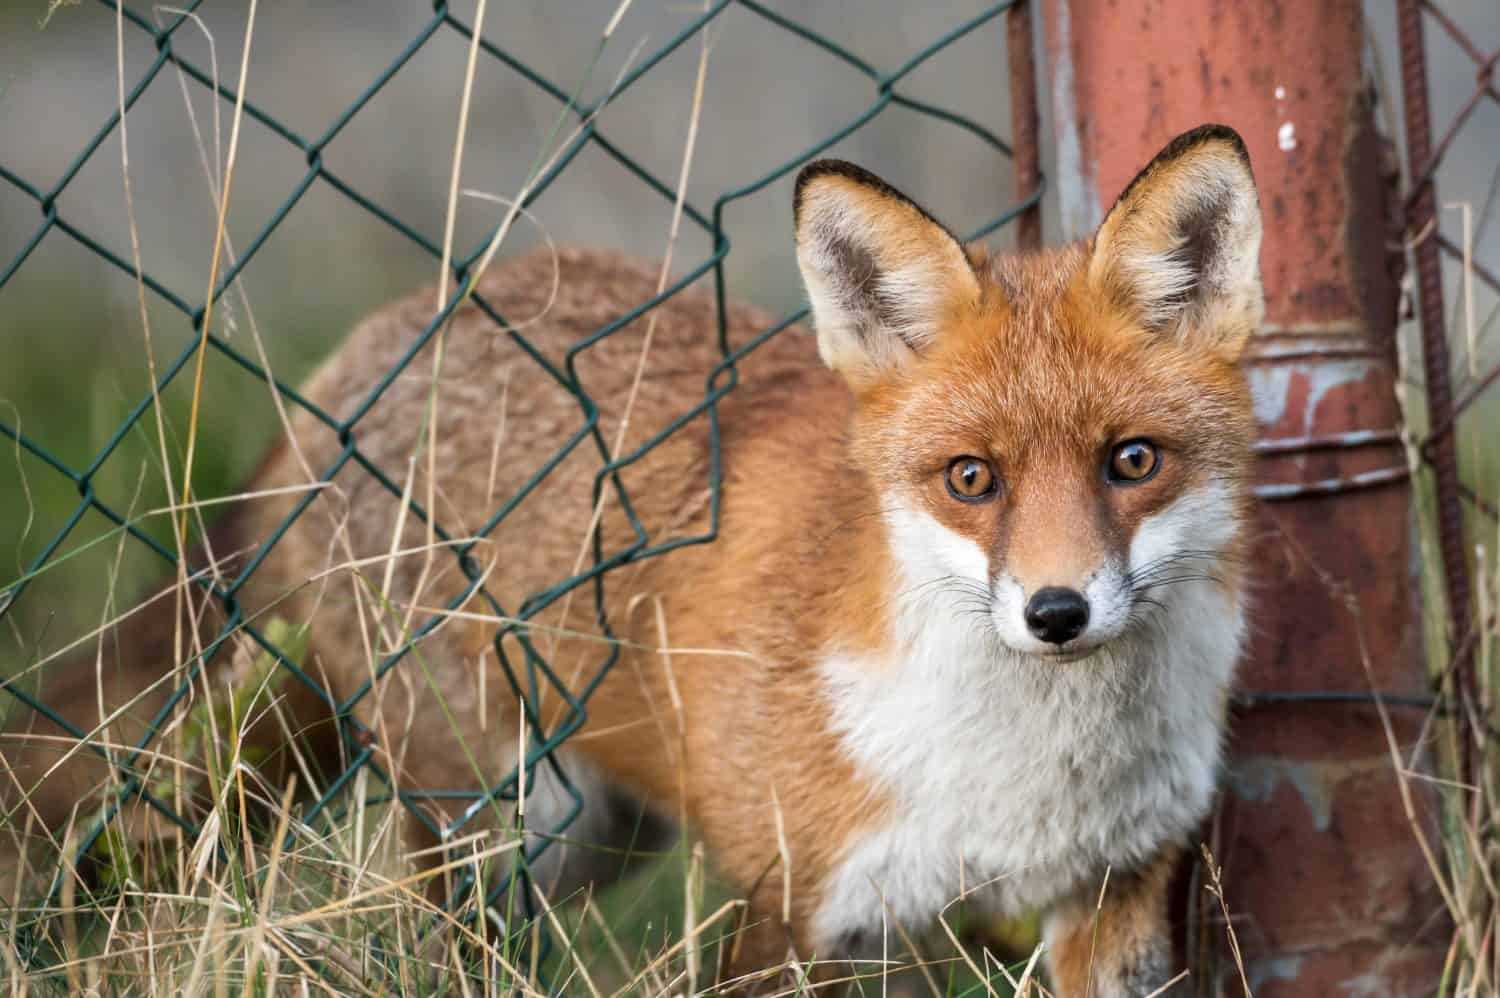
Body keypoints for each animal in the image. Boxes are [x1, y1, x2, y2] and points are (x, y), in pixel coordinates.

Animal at [1, 123, 1262, 994]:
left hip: (598, 834)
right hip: (499, 822)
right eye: (970, 479)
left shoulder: (1115, 906)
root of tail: (363, 358)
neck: (1024, 780)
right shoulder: (796, 912)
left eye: (1131, 460)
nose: (1056, 611)